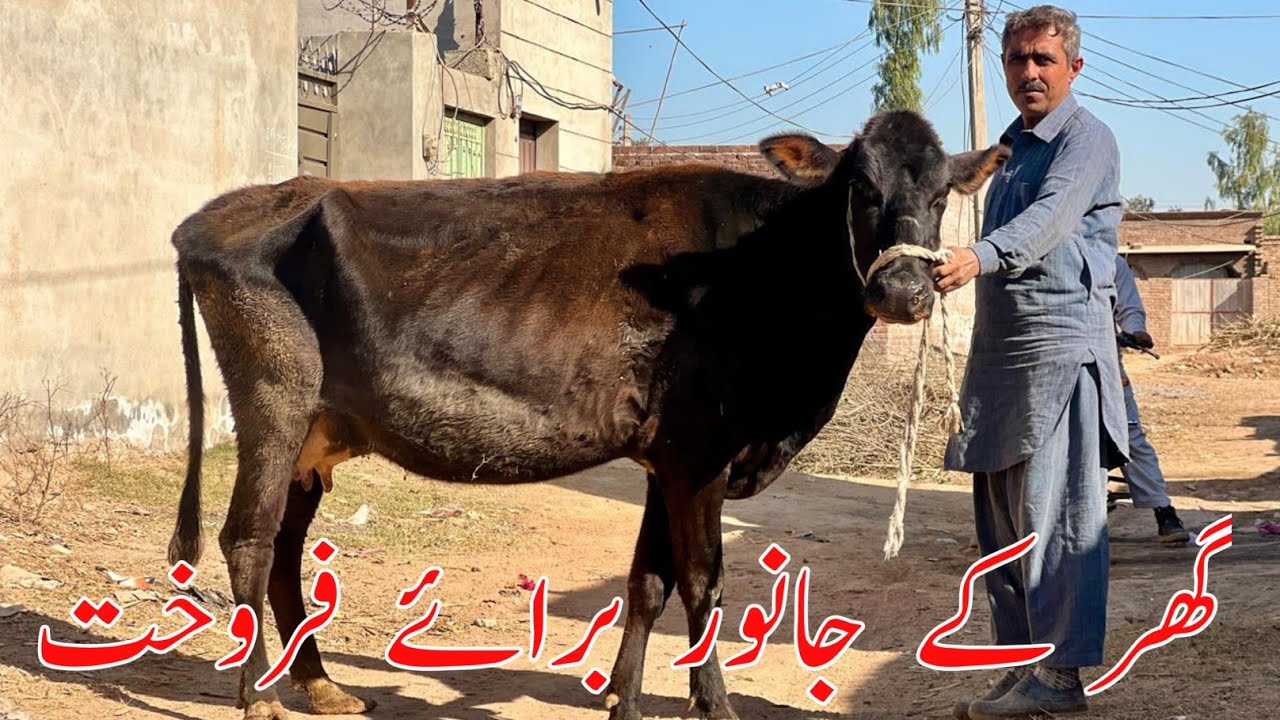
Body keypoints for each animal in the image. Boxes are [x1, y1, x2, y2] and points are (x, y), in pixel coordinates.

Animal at [167, 109, 1008, 720]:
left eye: (942, 196)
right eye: (858, 188)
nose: (905, 291)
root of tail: (211, 216)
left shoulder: (667, 458)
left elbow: (647, 583)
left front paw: (624, 701)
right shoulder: (701, 452)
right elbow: (703, 583)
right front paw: (714, 706)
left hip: (316, 432)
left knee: (283, 549)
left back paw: (319, 685)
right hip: (274, 397)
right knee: (247, 540)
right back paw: (259, 699)